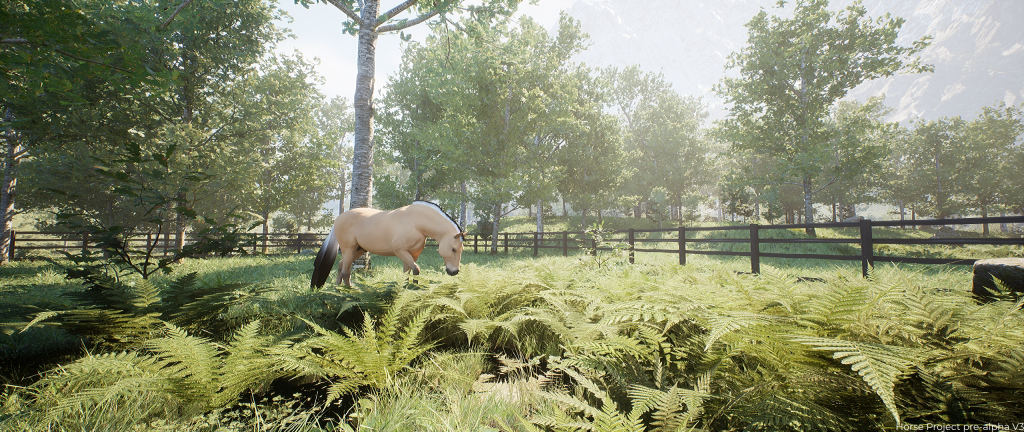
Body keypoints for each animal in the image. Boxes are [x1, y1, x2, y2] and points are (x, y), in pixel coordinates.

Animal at [311, 201, 467, 287]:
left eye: (461, 250)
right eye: (453, 249)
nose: (454, 272)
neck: (415, 222)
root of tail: (338, 218)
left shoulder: (412, 255)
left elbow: (407, 272)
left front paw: (406, 289)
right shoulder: (400, 251)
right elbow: (416, 270)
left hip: (358, 250)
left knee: (341, 265)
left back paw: (337, 289)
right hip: (348, 249)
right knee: (346, 271)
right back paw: (349, 291)